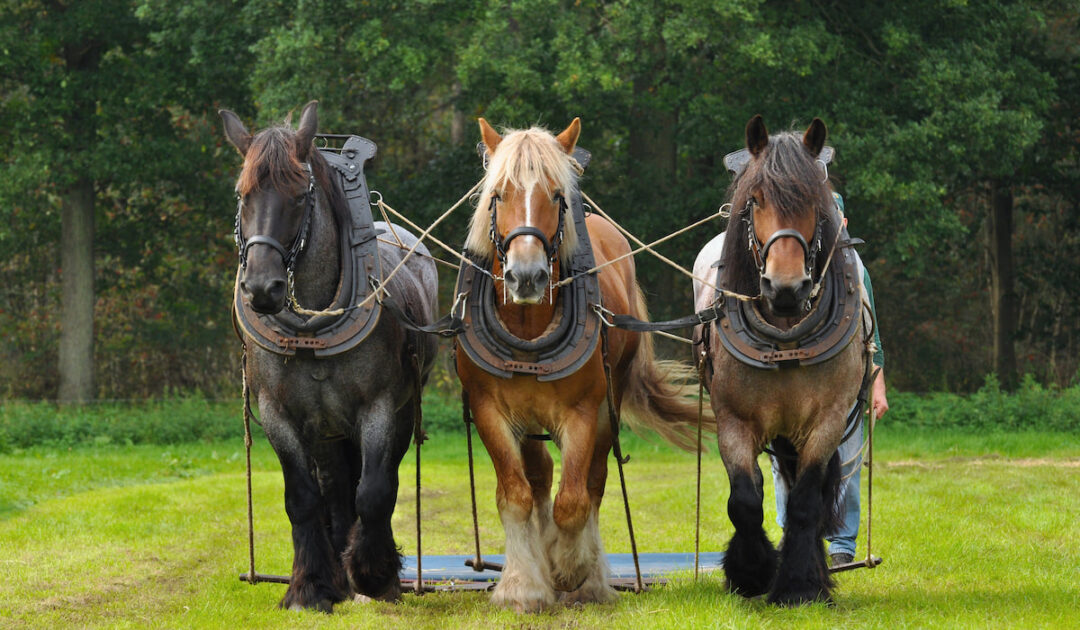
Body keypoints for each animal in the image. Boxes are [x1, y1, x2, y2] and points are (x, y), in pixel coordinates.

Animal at [219, 101, 438, 611]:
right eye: (242, 195)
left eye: (300, 197)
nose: (261, 288)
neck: (312, 328)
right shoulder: (278, 413)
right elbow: (303, 497)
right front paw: (311, 587)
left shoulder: (379, 408)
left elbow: (375, 492)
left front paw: (375, 576)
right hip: (324, 428)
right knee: (335, 489)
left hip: (394, 415)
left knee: (375, 482)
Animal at [457, 118, 703, 612]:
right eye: (499, 194)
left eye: (556, 195)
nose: (526, 276)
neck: (529, 325)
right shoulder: (490, 409)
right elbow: (516, 494)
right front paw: (523, 586)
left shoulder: (584, 411)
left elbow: (573, 500)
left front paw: (569, 569)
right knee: (539, 476)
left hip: (611, 403)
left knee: (593, 481)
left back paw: (586, 575)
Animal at [692, 116, 869, 605]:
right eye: (755, 200)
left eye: (811, 199)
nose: (785, 287)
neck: (787, 335)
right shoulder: (732, 421)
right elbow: (745, 501)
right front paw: (751, 572)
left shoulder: (826, 422)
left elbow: (807, 503)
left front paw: (800, 584)